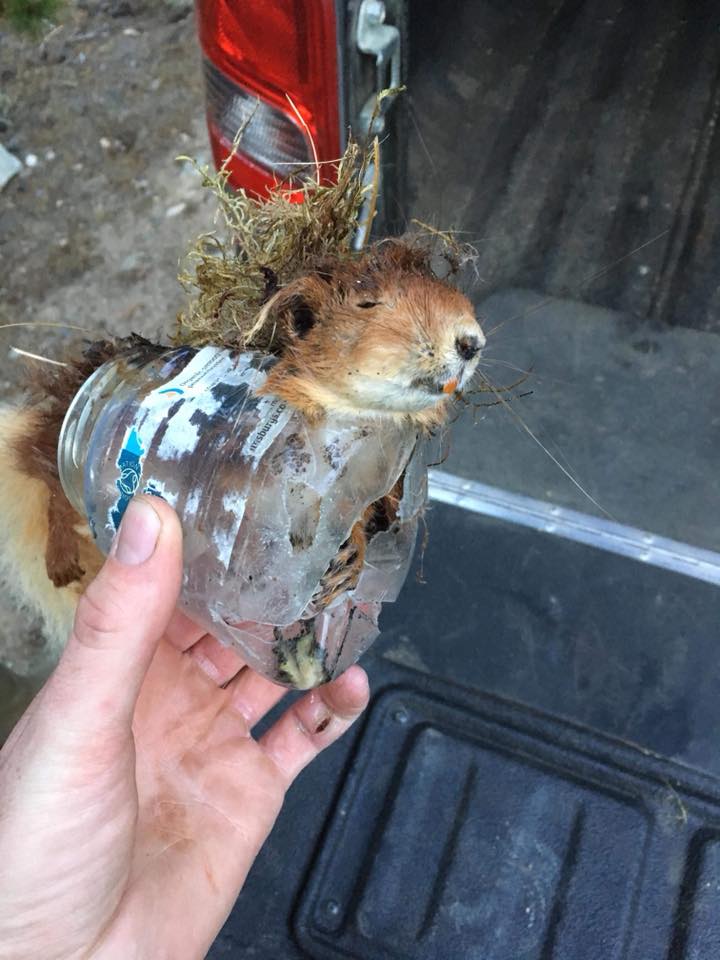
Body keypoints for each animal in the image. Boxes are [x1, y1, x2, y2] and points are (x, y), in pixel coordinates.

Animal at [0, 241, 484, 655]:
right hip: (55, 451)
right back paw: (62, 561)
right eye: (368, 304)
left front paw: (347, 565)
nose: (471, 341)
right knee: (48, 485)